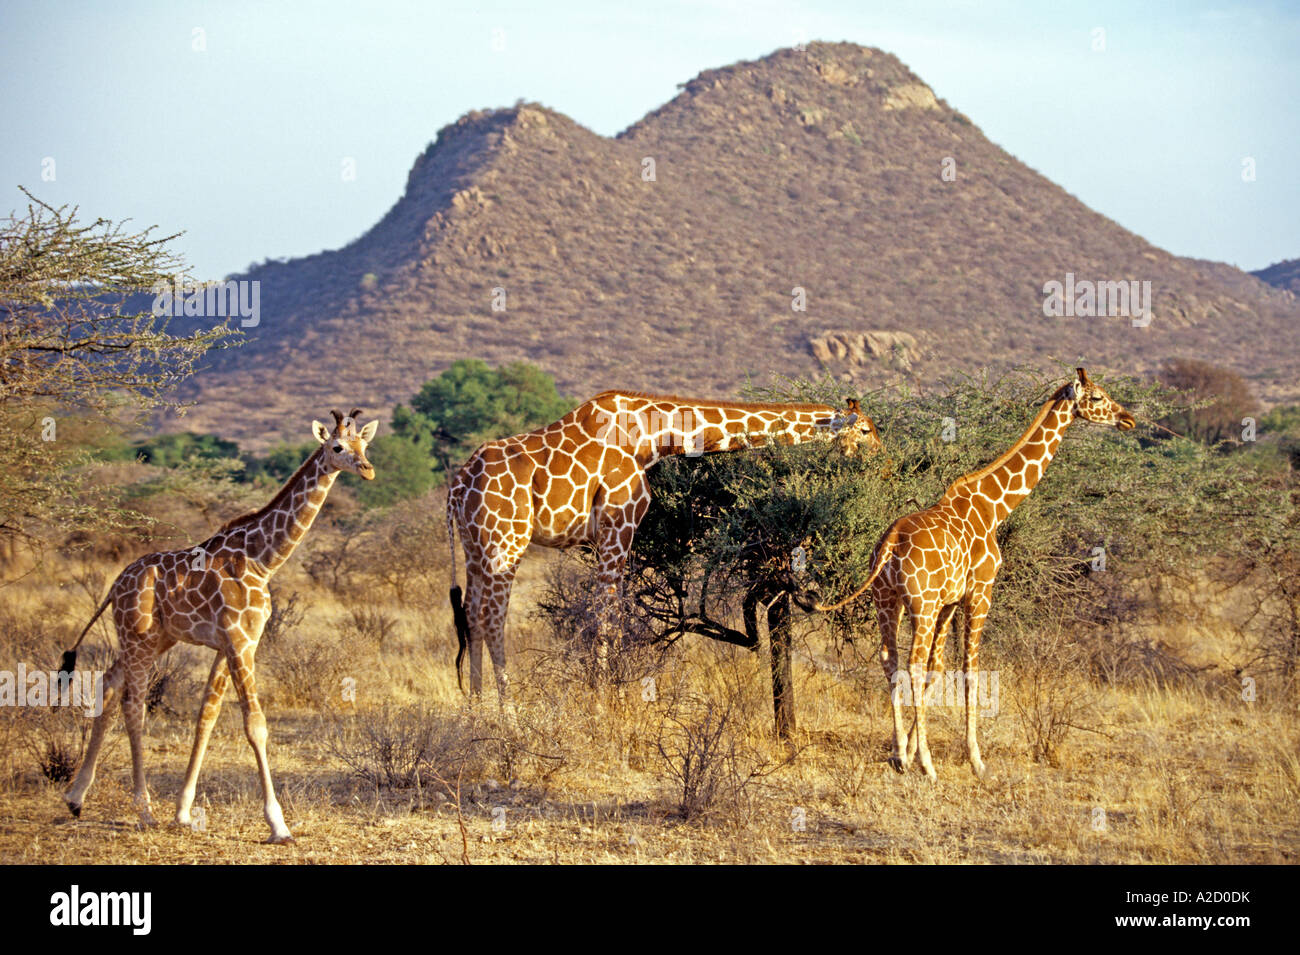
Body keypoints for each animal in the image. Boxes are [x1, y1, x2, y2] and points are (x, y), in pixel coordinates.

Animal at [59, 409, 378, 843]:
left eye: (365, 444)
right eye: (337, 447)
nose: (367, 469)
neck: (263, 559)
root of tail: (115, 584)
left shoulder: (238, 643)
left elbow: (205, 719)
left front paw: (183, 810)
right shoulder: (237, 640)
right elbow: (255, 724)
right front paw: (278, 824)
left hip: (153, 638)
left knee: (108, 683)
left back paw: (76, 797)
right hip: (137, 637)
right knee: (134, 706)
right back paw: (143, 810)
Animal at [446, 390, 882, 700]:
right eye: (865, 430)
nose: (882, 459)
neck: (653, 438)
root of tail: (456, 487)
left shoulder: (614, 535)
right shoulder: (617, 526)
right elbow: (607, 615)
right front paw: (605, 701)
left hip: (474, 548)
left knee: (471, 616)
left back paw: (476, 707)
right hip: (506, 542)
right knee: (493, 618)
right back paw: (509, 714)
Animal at [817, 368, 1135, 780]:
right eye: (1097, 397)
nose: (1128, 419)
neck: (995, 506)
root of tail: (889, 542)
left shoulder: (950, 601)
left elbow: (939, 668)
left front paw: (909, 748)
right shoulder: (981, 591)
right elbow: (970, 669)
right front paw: (975, 758)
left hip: (887, 600)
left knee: (890, 659)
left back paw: (900, 754)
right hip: (920, 603)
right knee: (911, 663)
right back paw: (927, 765)